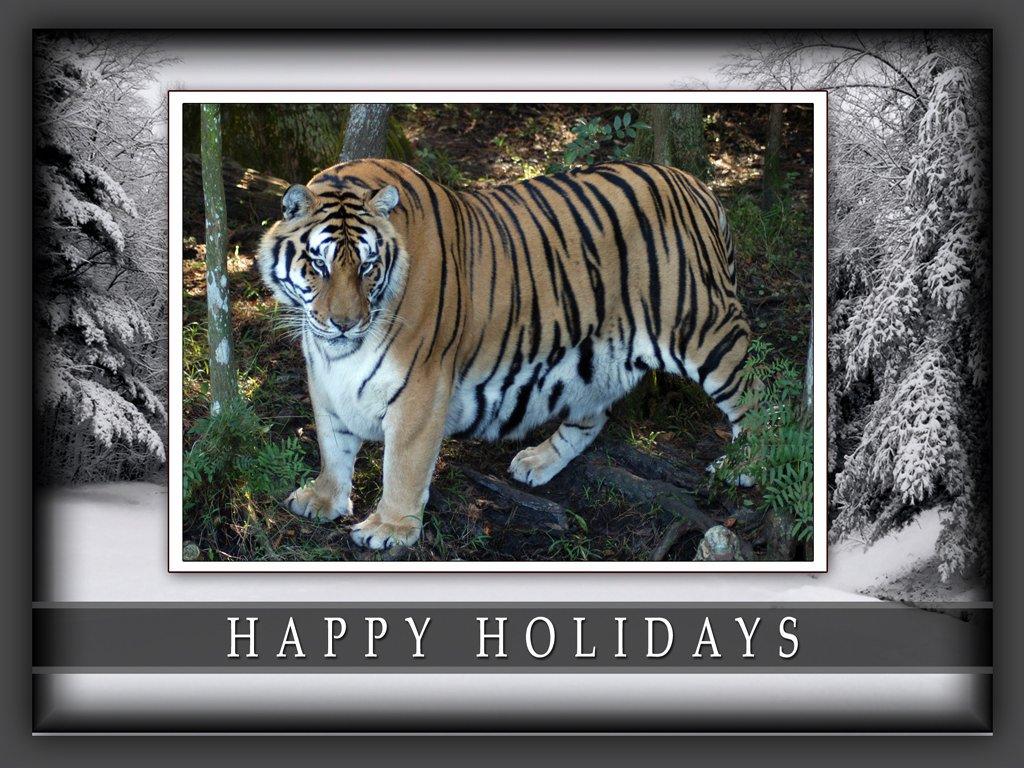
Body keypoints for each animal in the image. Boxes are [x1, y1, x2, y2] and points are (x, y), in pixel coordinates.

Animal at [257, 158, 752, 550]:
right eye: (318, 265)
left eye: (367, 266)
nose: (344, 322)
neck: (340, 352)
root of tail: (696, 183)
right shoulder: (325, 381)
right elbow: (332, 444)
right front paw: (323, 499)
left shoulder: (421, 387)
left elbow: (404, 463)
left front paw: (391, 527)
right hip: (594, 356)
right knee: (592, 416)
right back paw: (536, 462)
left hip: (704, 329)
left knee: (754, 393)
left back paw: (746, 464)